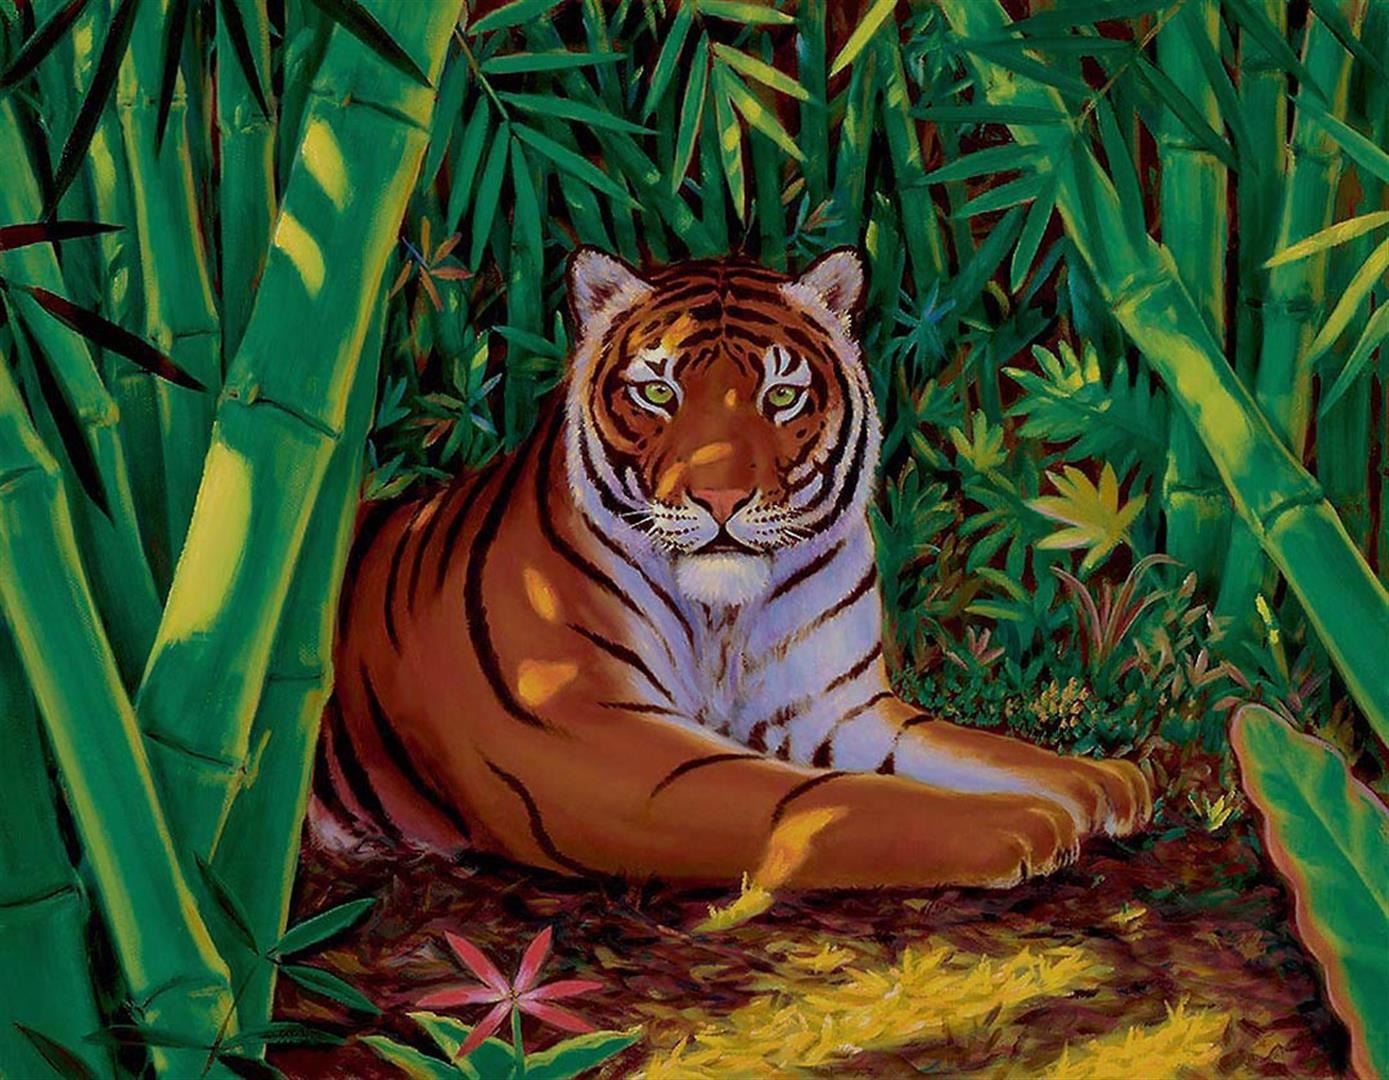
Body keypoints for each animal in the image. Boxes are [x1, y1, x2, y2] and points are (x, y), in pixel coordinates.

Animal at [317, 248, 1152, 890]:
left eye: (780, 396)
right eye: (658, 391)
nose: (719, 497)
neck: (724, 615)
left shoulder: (835, 708)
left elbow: (968, 746)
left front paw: (1099, 782)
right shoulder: (579, 734)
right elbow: (833, 802)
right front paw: (1029, 823)